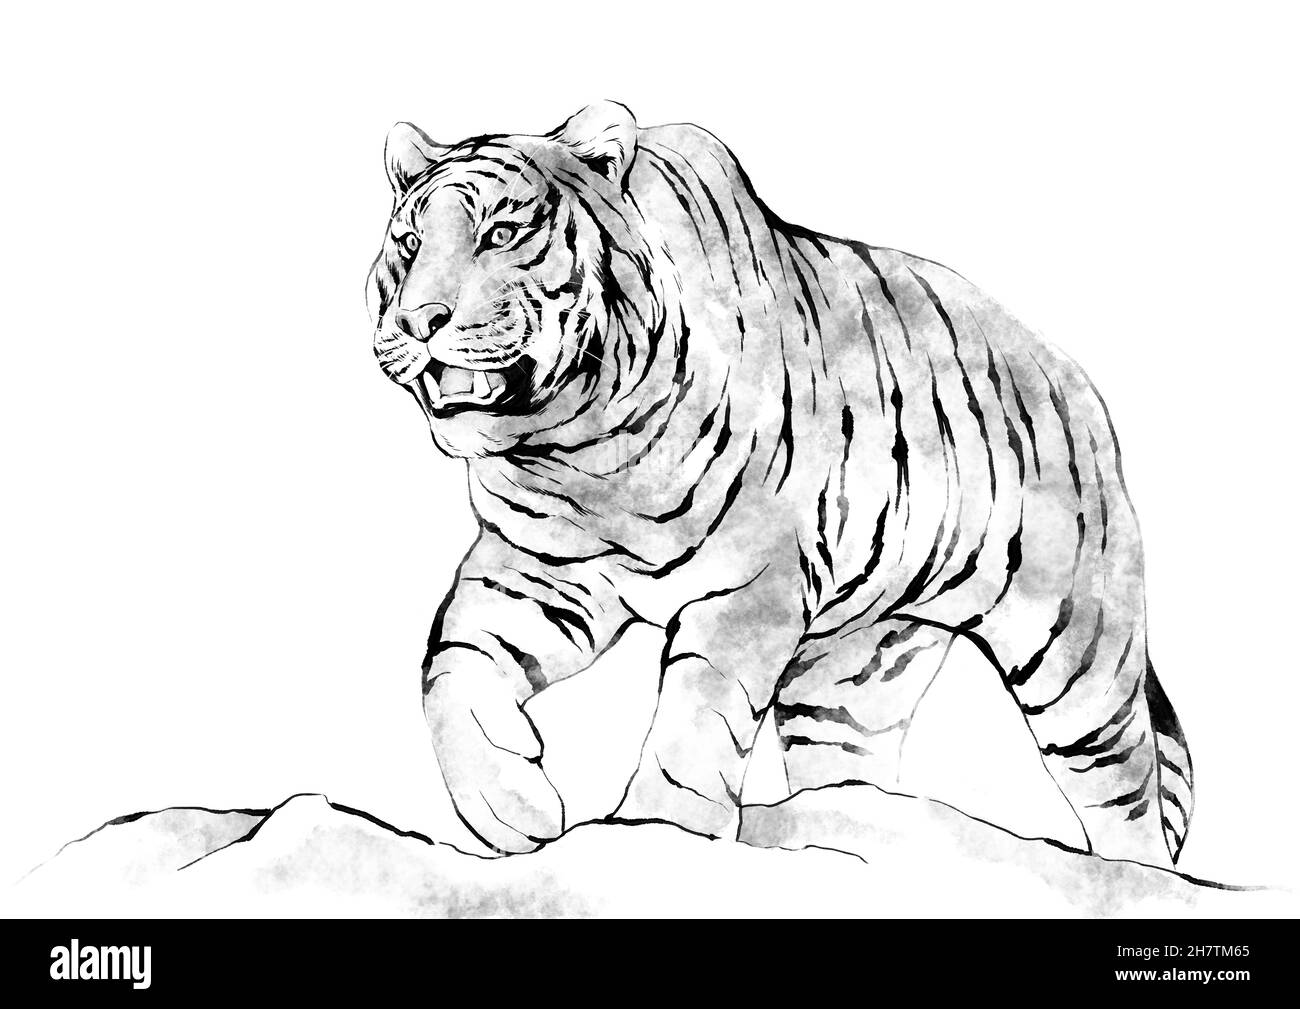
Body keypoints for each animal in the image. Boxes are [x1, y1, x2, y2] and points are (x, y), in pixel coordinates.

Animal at [366, 101, 1193, 867]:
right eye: (408, 244)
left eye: (501, 235)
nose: (418, 319)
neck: (571, 448)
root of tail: (1073, 379)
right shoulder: (536, 570)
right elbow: (450, 663)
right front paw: (509, 806)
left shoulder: (747, 584)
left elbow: (696, 717)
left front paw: (656, 831)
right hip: (855, 674)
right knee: (852, 772)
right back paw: (841, 832)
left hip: (1076, 646)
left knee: (1128, 793)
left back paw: (1131, 875)